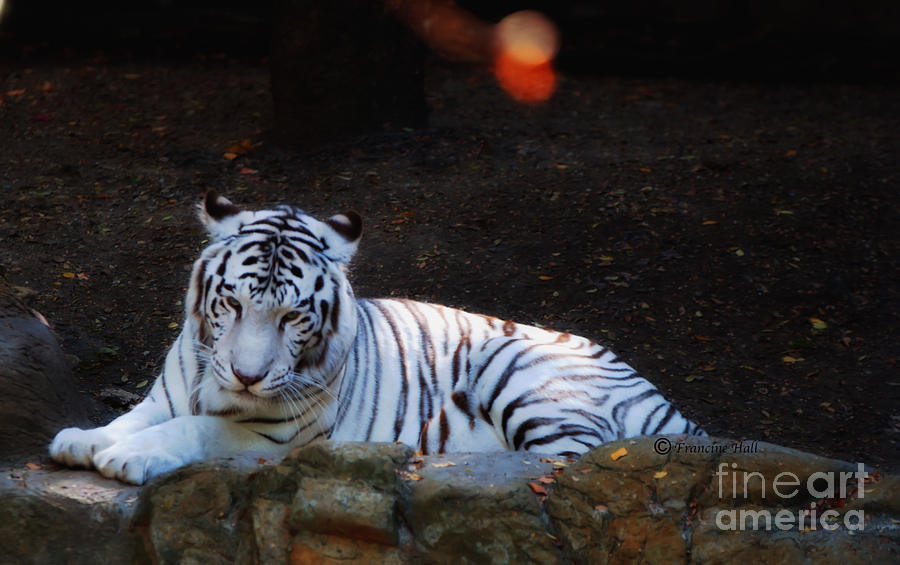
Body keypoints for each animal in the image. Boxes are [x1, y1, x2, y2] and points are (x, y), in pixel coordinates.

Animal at [50, 191, 705, 484]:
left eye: (292, 317)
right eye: (231, 303)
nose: (247, 375)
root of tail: (658, 396)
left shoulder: (276, 432)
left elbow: (195, 427)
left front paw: (128, 458)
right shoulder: (165, 394)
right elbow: (133, 417)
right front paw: (83, 440)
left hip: (525, 376)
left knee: (565, 462)